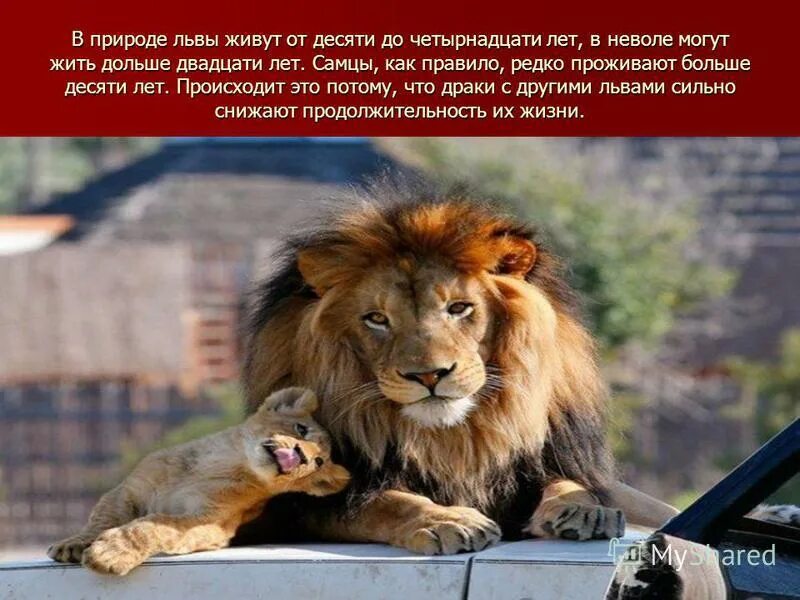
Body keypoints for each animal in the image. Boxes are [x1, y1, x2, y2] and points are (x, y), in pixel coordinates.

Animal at [47, 387, 350, 575]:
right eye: (301, 429)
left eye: (318, 462)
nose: (301, 456)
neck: (223, 461)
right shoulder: (128, 491)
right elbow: (103, 518)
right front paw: (73, 544)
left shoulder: (209, 524)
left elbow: (151, 526)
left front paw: (109, 554)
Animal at [242, 184, 679, 555]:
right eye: (377, 319)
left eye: (458, 308)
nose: (428, 375)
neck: (452, 440)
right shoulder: (312, 504)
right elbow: (388, 501)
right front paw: (448, 520)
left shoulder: (549, 462)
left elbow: (570, 483)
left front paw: (584, 509)